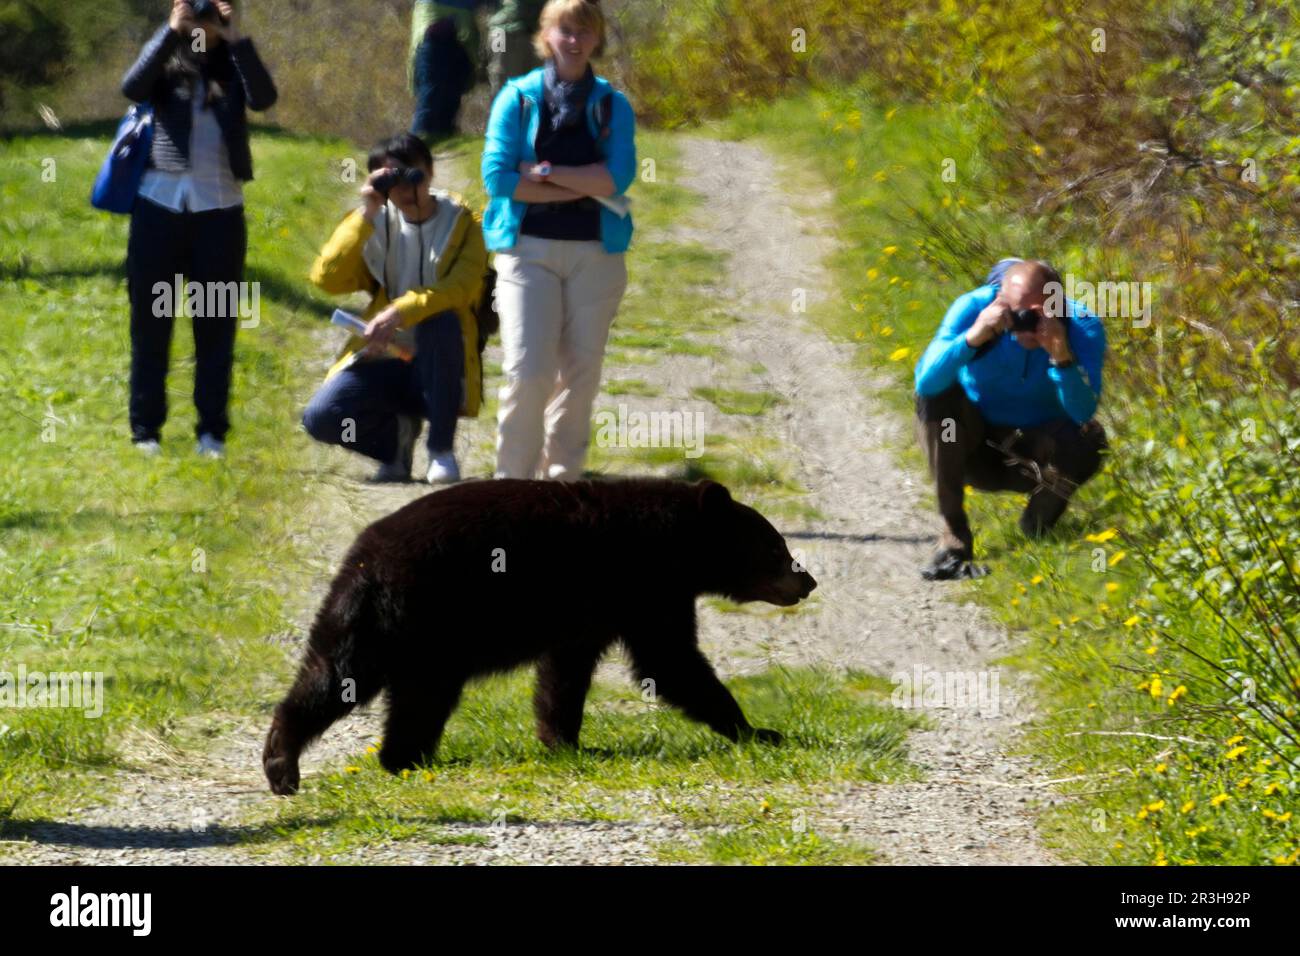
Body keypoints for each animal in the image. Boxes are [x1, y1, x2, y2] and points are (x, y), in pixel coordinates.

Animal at [262, 477, 817, 796]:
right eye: (776, 546)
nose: (808, 580)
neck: (674, 538)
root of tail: (361, 559)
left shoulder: (595, 610)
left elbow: (565, 672)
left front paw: (564, 741)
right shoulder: (642, 583)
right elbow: (670, 660)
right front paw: (758, 730)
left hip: (407, 634)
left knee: (391, 688)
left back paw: (403, 758)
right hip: (409, 615)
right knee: (346, 678)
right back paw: (284, 765)